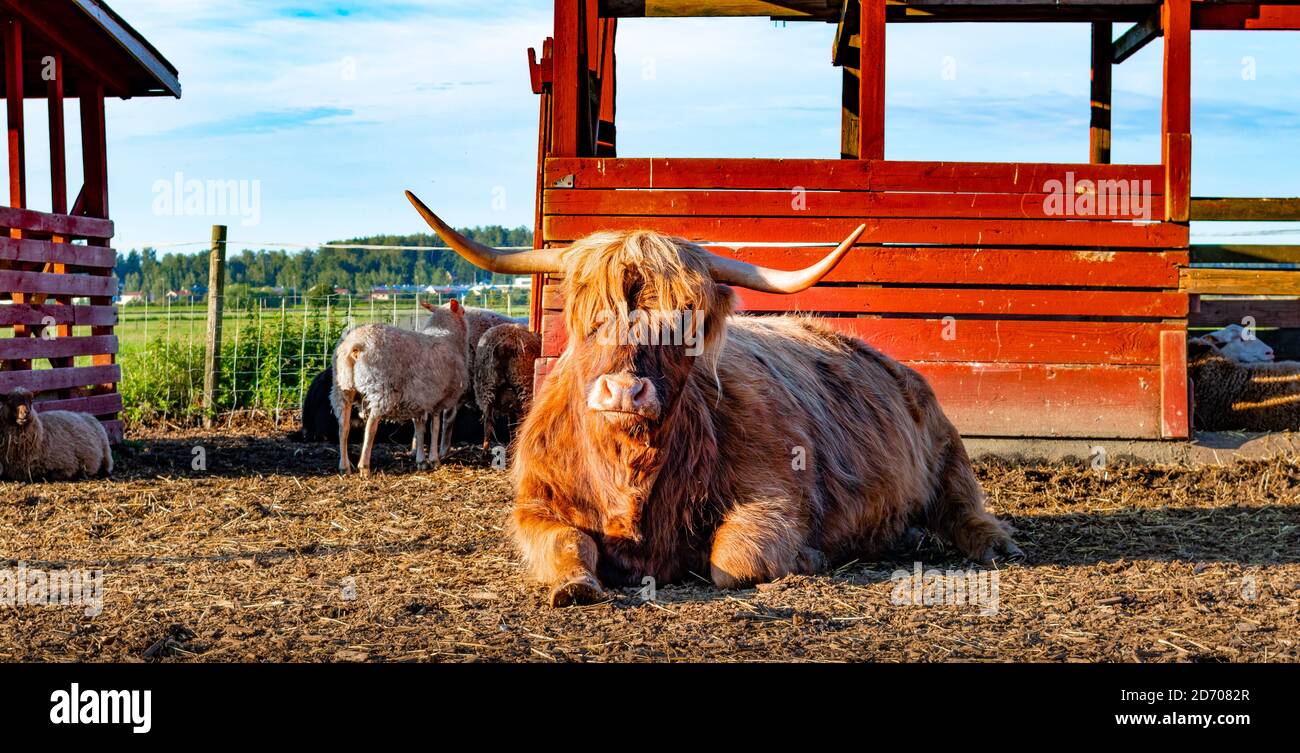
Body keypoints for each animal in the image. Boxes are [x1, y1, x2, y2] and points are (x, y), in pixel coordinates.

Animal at [331, 300, 468, 477]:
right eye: (463, 311)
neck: (448, 338)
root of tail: (356, 344)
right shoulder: (438, 399)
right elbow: (435, 428)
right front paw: (434, 460)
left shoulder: (420, 399)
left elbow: (419, 428)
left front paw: (421, 460)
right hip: (381, 389)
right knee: (371, 426)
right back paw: (364, 467)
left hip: (342, 389)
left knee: (344, 426)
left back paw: (344, 467)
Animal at [472, 322, 541, 451]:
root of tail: (506, 344)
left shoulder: (512, 406)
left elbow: (511, 426)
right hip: (524, 387)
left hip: (485, 387)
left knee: (487, 424)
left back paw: (485, 452)